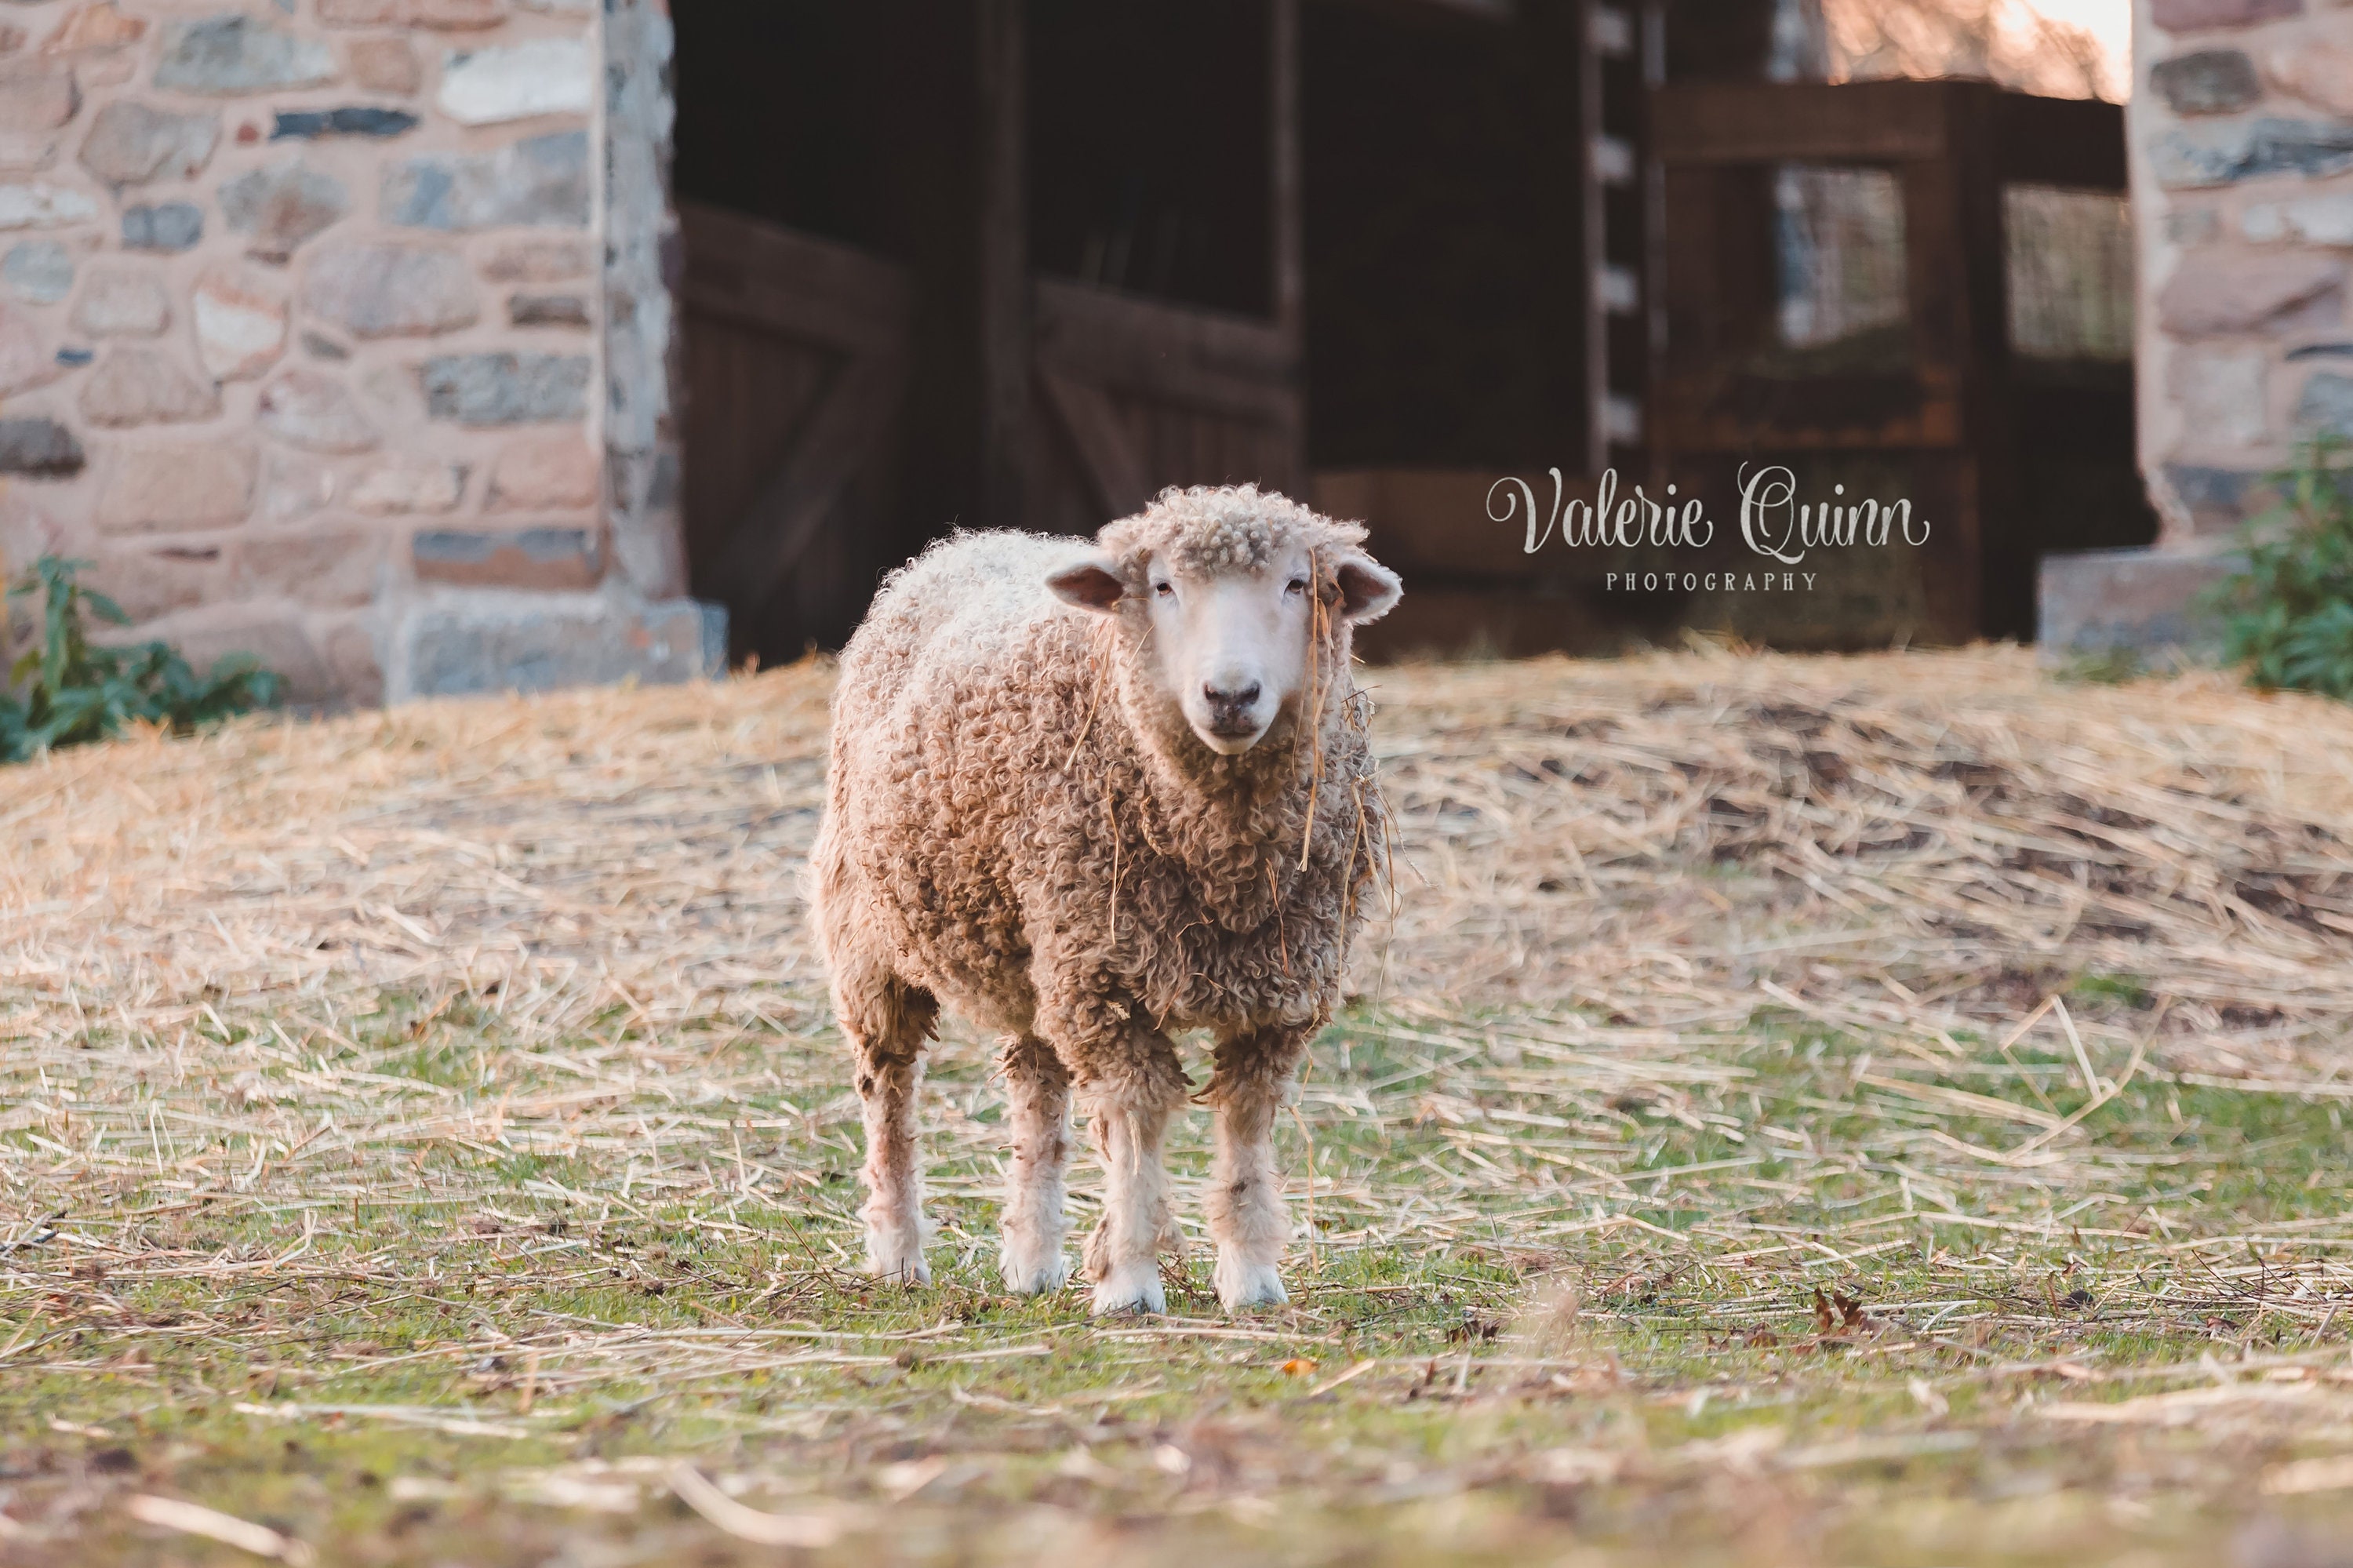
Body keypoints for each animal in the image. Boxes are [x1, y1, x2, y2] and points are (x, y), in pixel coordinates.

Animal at [810, 484, 1401, 1314]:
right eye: (1163, 586)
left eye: (1298, 584)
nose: (1230, 695)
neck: (1223, 861)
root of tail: (969, 539)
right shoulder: (1107, 978)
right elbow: (1138, 1123)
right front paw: (1129, 1279)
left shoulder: (1277, 993)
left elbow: (1246, 1124)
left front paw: (1250, 1276)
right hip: (872, 935)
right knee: (889, 1092)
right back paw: (898, 1252)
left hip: (1035, 948)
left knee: (1036, 1093)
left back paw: (1032, 1258)